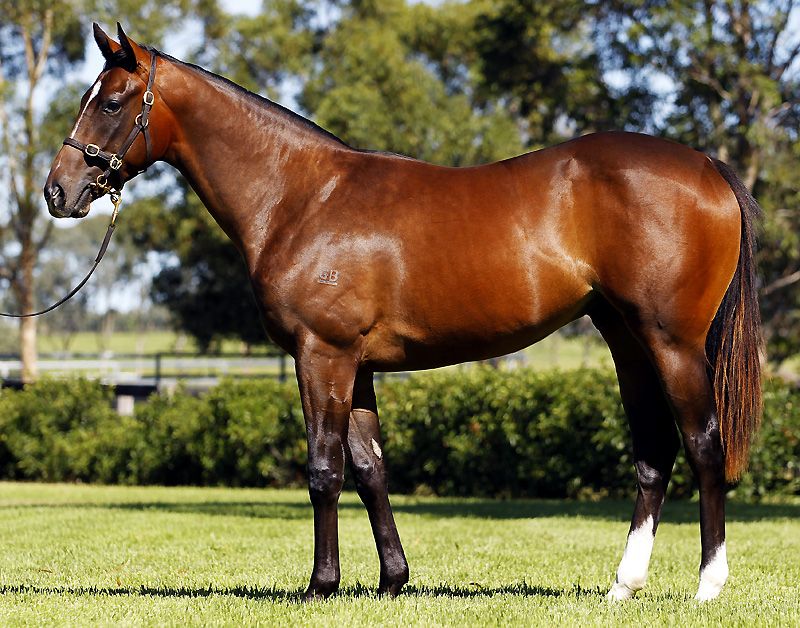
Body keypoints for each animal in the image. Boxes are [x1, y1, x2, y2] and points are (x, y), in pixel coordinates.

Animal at [44, 24, 762, 602]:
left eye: (111, 102)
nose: (58, 191)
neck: (300, 197)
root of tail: (706, 164)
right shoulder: (357, 366)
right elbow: (370, 469)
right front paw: (393, 580)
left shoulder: (322, 355)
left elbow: (324, 469)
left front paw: (320, 585)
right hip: (626, 339)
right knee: (654, 453)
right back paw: (624, 584)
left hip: (671, 342)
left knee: (703, 444)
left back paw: (708, 585)